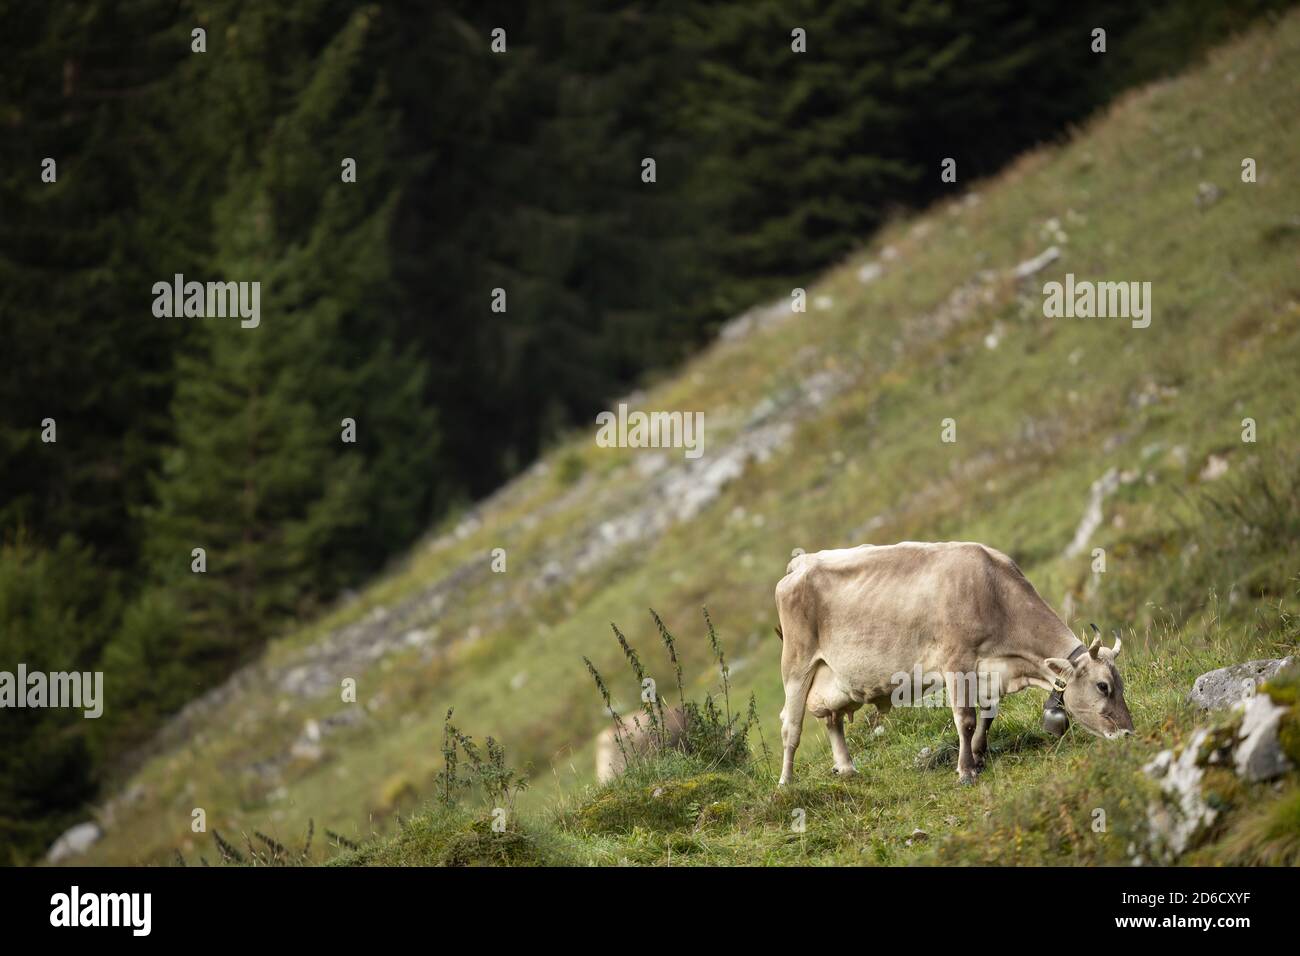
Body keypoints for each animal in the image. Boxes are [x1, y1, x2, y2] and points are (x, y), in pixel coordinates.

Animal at [774, 542, 1133, 785]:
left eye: (1121, 685)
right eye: (1102, 686)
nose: (1128, 733)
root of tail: (802, 562)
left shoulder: (988, 670)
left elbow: (987, 715)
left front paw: (979, 753)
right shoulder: (956, 662)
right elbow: (966, 719)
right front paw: (965, 770)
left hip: (832, 678)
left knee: (832, 719)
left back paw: (847, 769)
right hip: (796, 664)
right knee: (791, 726)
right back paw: (786, 783)